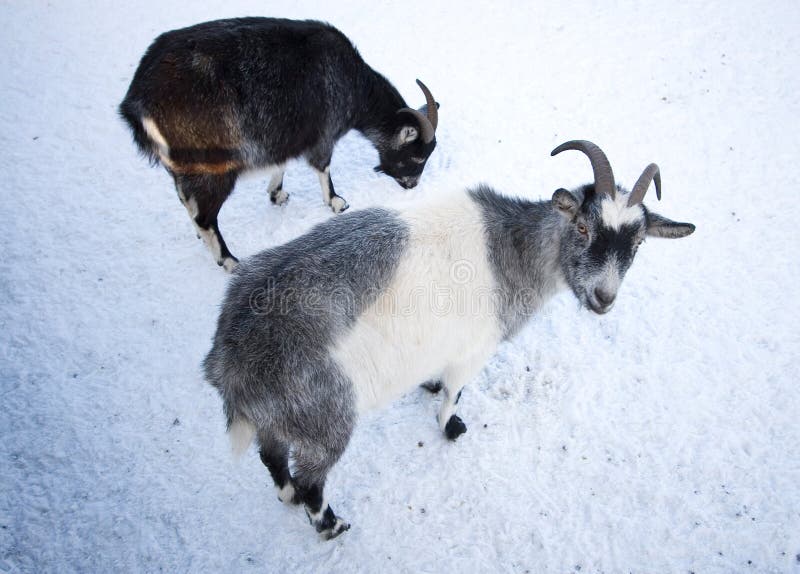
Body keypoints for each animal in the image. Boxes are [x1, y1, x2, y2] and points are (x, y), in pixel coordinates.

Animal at [119, 18, 439, 271]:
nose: (412, 185)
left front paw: (277, 193)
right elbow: (322, 166)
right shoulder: (324, 130)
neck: (351, 81)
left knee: (187, 201)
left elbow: (283, 162)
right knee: (205, 217)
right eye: (417, 157)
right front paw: (337, 202)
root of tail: (137, 104)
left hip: (181, 168)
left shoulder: (288, 133)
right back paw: (230, 261)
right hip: (212, 166)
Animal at [203, 141, 695, 538]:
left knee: (272, 458)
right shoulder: (474, 350)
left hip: (279, 418)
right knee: (310, 479)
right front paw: (451, 426)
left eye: (637, 245)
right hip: (326, 419)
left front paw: (429, 385)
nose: (603, 298)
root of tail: (229, 355)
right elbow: (456, 393)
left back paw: (286, 496)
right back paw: (332, 525)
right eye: (582, 229)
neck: (512, 248)